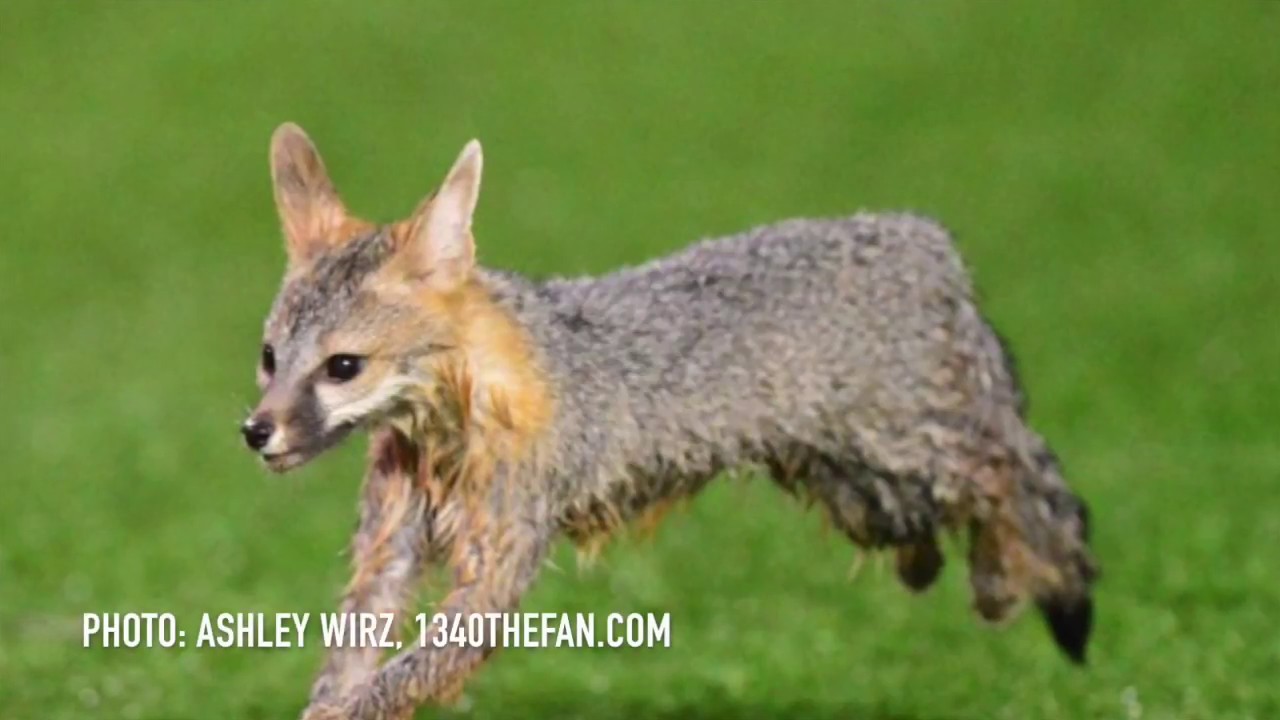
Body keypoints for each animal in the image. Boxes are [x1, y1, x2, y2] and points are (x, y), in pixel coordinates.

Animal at [243, 123, 1098, 720]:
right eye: (269, 357)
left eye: (342, 367)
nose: (255, 432)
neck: (449, 424)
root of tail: (926, 236)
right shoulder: (389, 555)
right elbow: (354, 663)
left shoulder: (495, 571)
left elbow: (389, 682)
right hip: (870, 496)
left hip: (912, 458)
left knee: (1019, 473)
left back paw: (1025, 578)